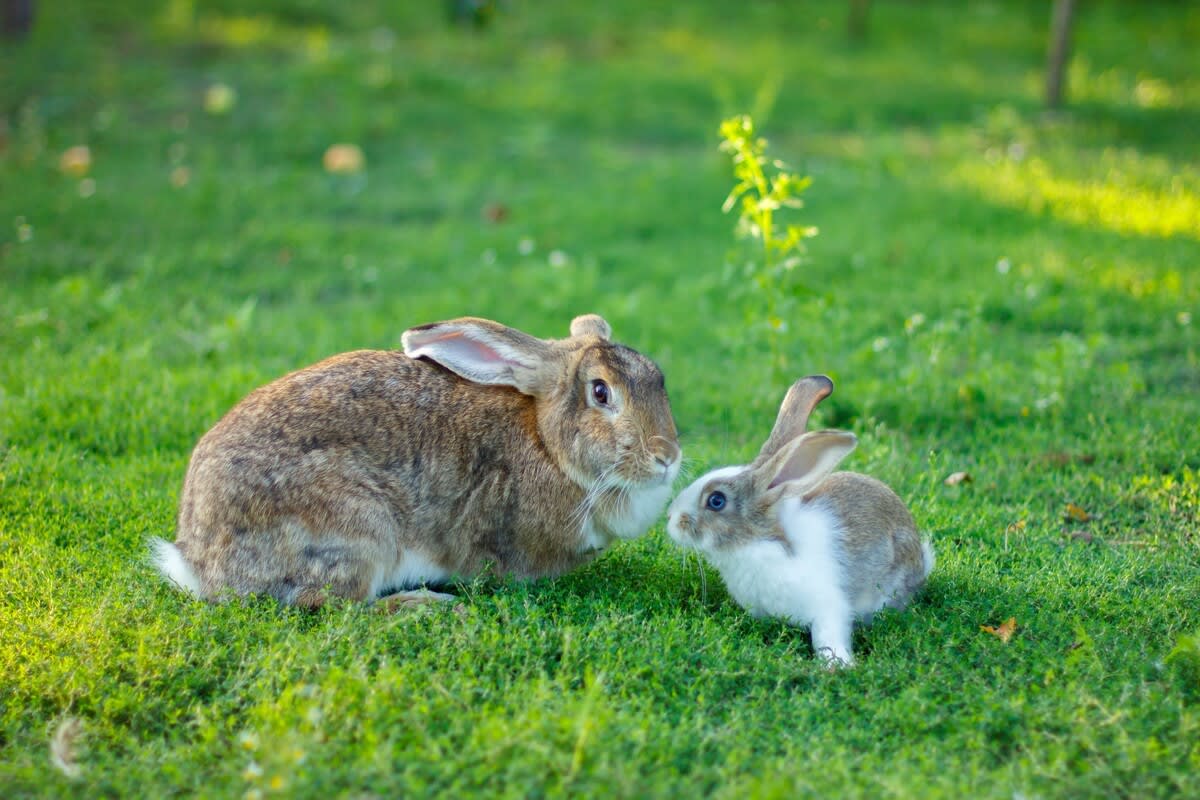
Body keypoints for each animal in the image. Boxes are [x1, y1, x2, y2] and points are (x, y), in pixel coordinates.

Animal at [151, 314, 682, 610]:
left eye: (660, 379)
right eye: (600, 393)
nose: (668, 458)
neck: (549, 446)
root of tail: (199, 563)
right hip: (359, 530)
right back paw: (427, 605)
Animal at [666, 375, 933, 666]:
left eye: (716, 500)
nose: (670, 518)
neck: (759, 541)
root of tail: (923, 559)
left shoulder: (828, 607)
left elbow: (827, 635)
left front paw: (838, 665)